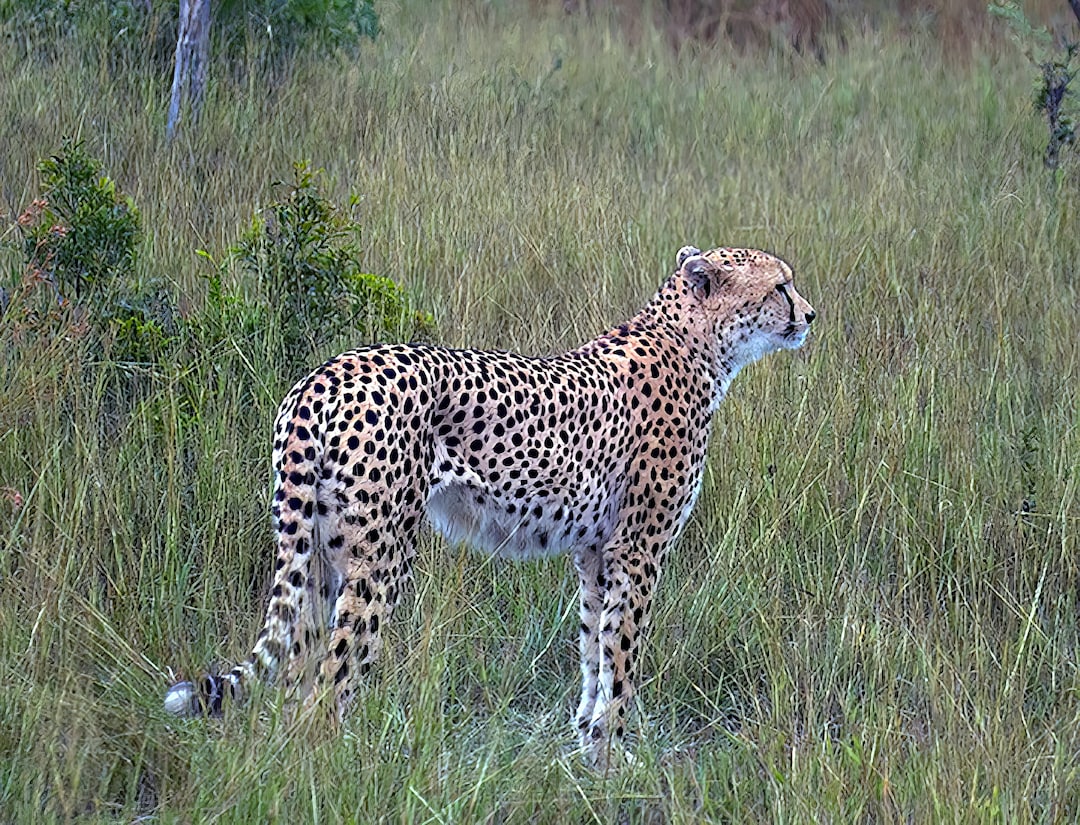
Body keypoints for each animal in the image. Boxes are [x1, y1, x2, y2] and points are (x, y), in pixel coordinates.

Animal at [164, 244, 816, 766]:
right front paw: (617, 753)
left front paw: (587, 741)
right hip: (380, 560)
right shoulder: (638, 551)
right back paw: (342, 768)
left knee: (297, 673)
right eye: (780, 286)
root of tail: (325, 373)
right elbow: (622, 655)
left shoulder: (595, 552)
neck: (692, 342)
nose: (810, 315)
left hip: (316, 553)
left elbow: (593, 647)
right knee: (328, 686)